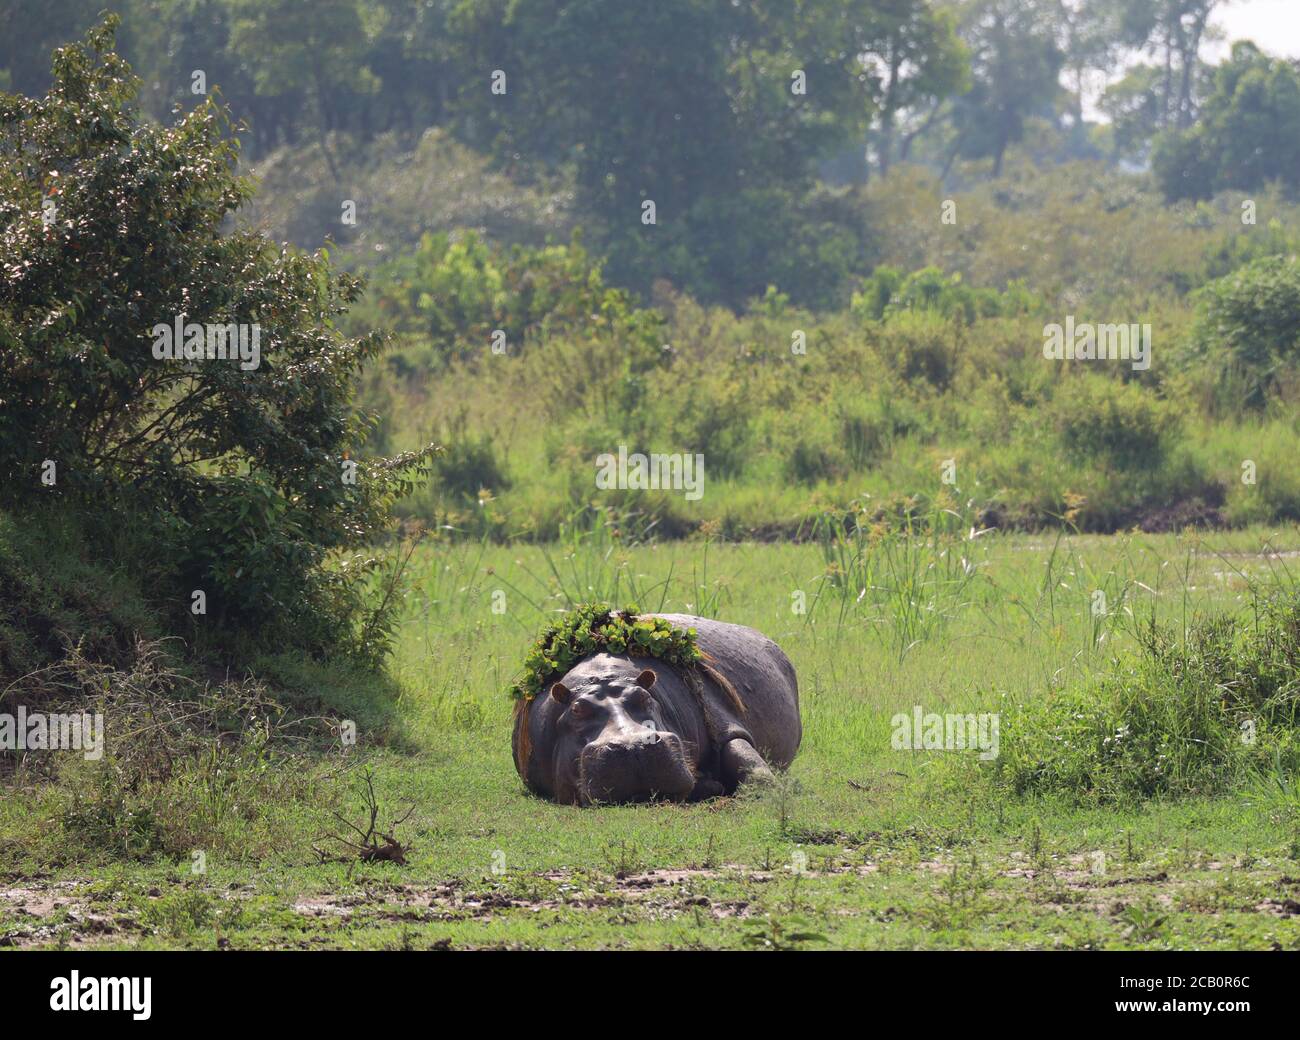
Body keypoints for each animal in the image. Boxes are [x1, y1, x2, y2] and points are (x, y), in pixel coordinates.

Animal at [512, 614, 800, 805]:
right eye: (576, 709)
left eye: (645, 697)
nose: (633, 746)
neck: (602, 676)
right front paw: (710, 784)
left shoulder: (723, 722)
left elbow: (757, 772)